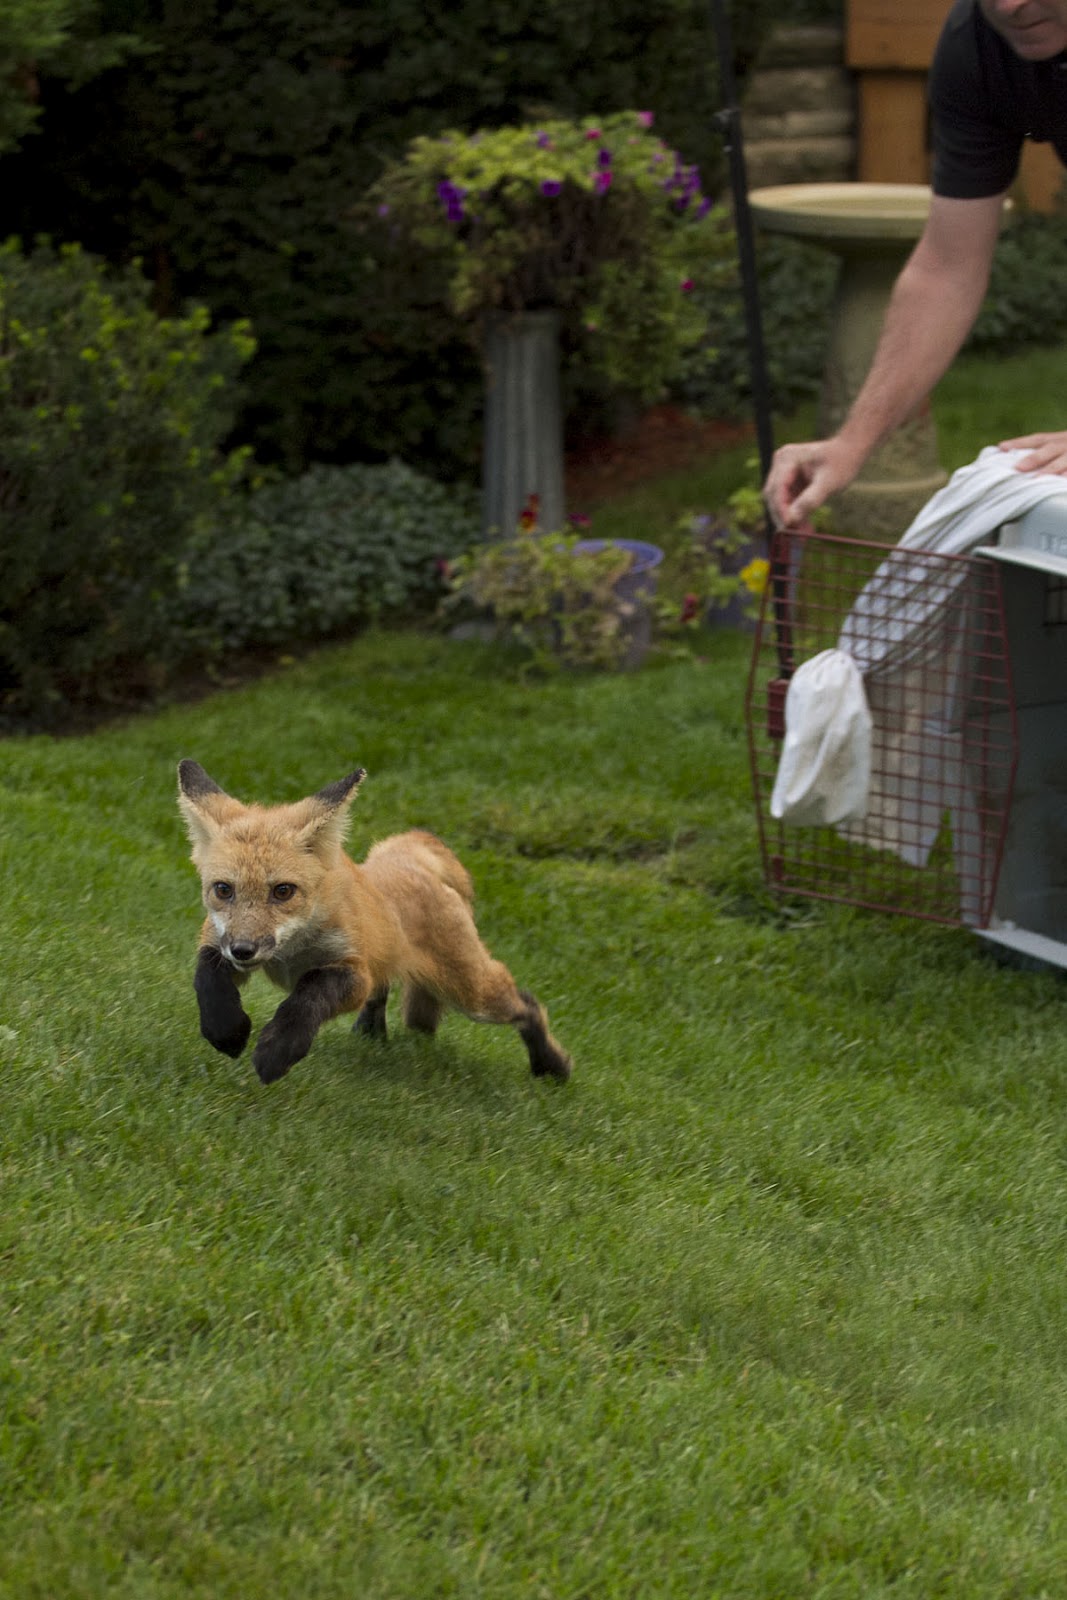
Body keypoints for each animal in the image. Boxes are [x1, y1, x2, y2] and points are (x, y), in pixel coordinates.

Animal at [177, 760, 572, 1087]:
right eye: (223, 889)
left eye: (283, 891)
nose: (244, 950)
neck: (289, 956)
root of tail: (409, 854)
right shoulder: (218, 940)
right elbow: (207, 978)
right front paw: (227, 1031)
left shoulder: (353, 970)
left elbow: (308, 996)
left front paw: (278, 1051)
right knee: (383, 993)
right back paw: (371, 1033)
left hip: (471, 993)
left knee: (527, 1006)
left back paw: (551, 1066)